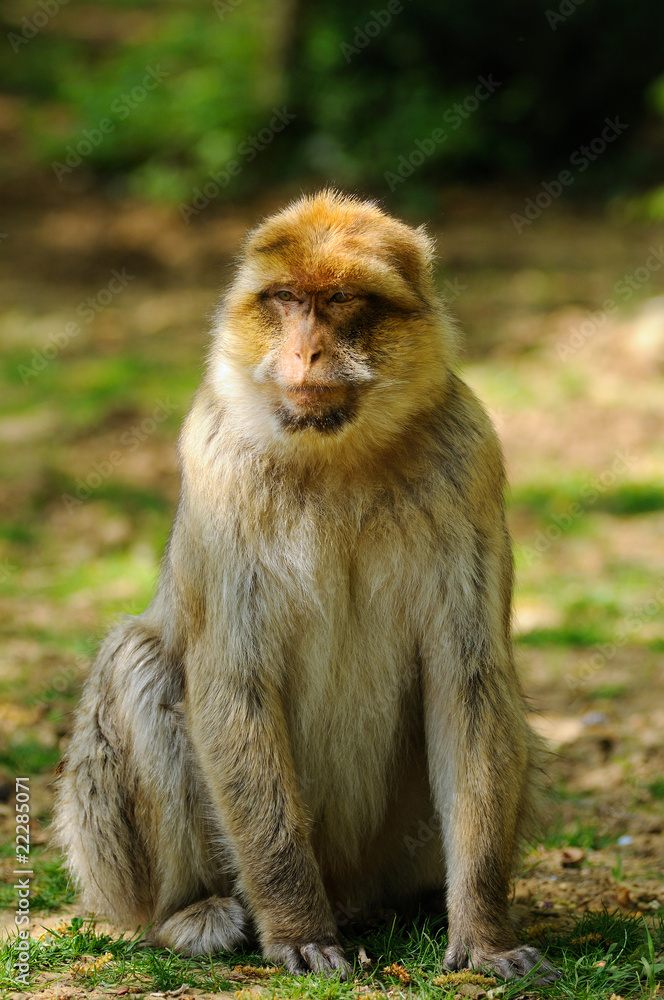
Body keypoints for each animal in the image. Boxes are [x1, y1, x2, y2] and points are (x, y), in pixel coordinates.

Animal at [55, 190, 559, 983]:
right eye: (287, 299)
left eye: (341, 300)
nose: (306, 351)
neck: (338, 454)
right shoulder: (217, 467)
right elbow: (234, 683)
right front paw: (295, 926)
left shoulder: (469, 454)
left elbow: (471, 681)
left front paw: (483, 932)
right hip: (113, 870)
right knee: (135, 659)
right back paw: (187, 914)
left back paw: (417, 900)